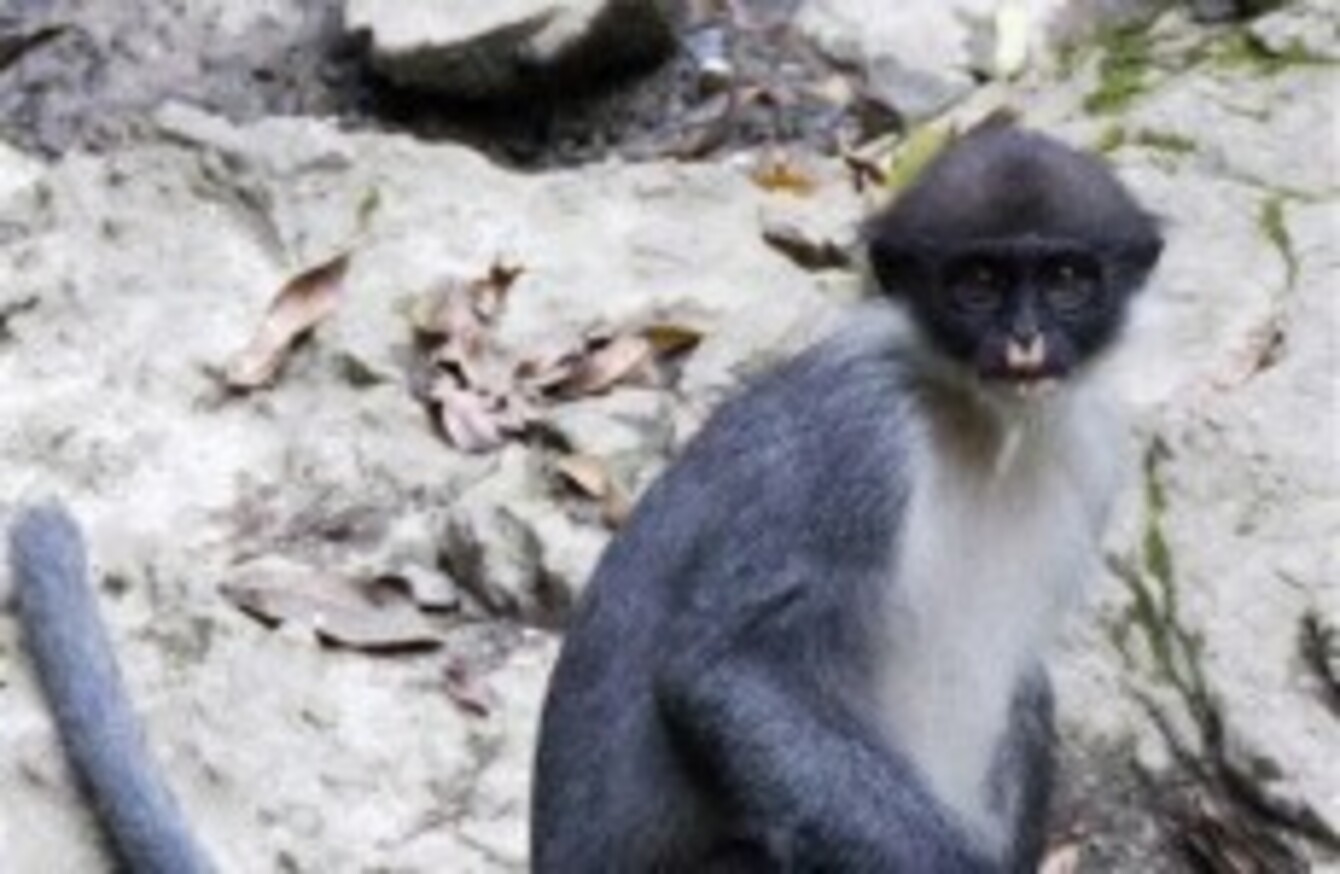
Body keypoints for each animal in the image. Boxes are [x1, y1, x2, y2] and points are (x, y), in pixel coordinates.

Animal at [531, 126, 1163, 872]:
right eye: (979, 283)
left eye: (1066, 279)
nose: (1024, 340)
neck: (979, 423)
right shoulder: (857, 436)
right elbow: (728, 673)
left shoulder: (1090, 447)